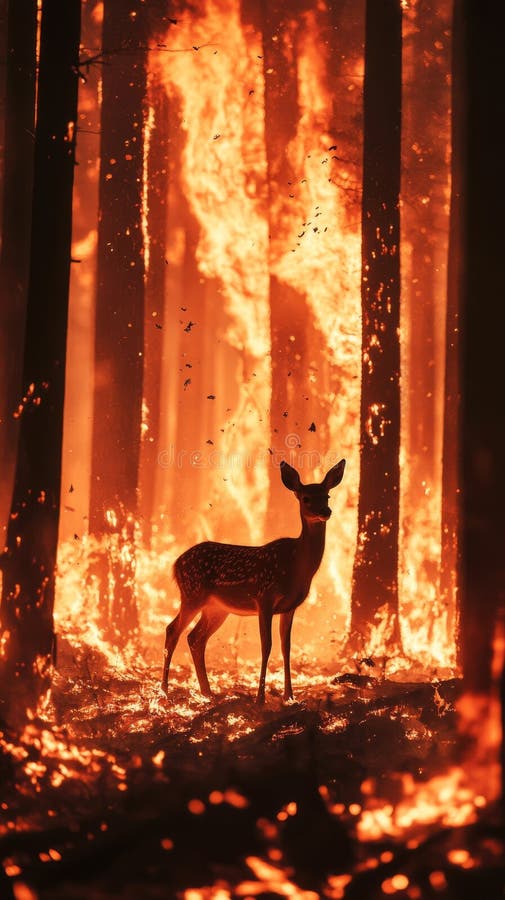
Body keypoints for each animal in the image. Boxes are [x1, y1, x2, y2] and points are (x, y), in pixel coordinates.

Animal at [161, 458, 346, 704]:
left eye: (327, 496)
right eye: (306, 498)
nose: (325, 511)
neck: (297, 565)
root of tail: (176, 564)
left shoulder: (290, 606)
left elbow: (286, 647)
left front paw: (289, 695)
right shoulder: (264, 597)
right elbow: (266, 645)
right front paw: (260, 698)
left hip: (217, 608)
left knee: (195, 637)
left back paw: (208, 692)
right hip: (192, 593)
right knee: (173, 629)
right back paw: (164, 690)